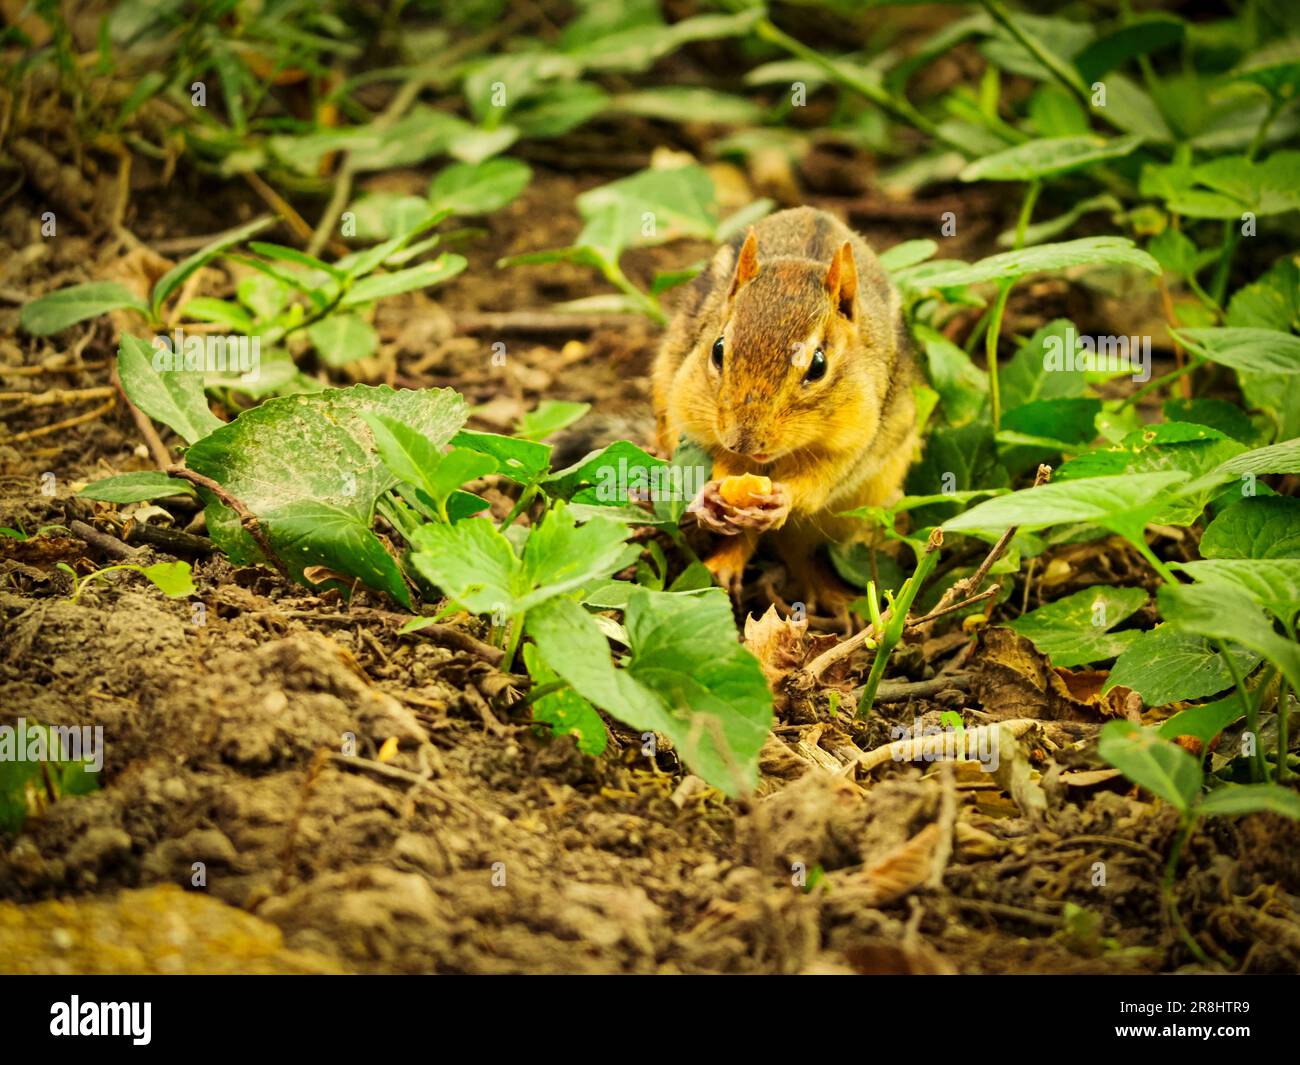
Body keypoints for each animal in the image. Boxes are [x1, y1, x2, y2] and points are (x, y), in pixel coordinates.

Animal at [652, 206, 917, 612]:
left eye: (818, 365)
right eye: (717, 349)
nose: (743, 443)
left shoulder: (853, 442)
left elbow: (819, 481)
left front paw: (783, 498)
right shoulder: (690, 407)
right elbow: (710, 455)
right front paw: (710, 494)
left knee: (796, 546)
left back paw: (830, 596)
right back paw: (723, 566)